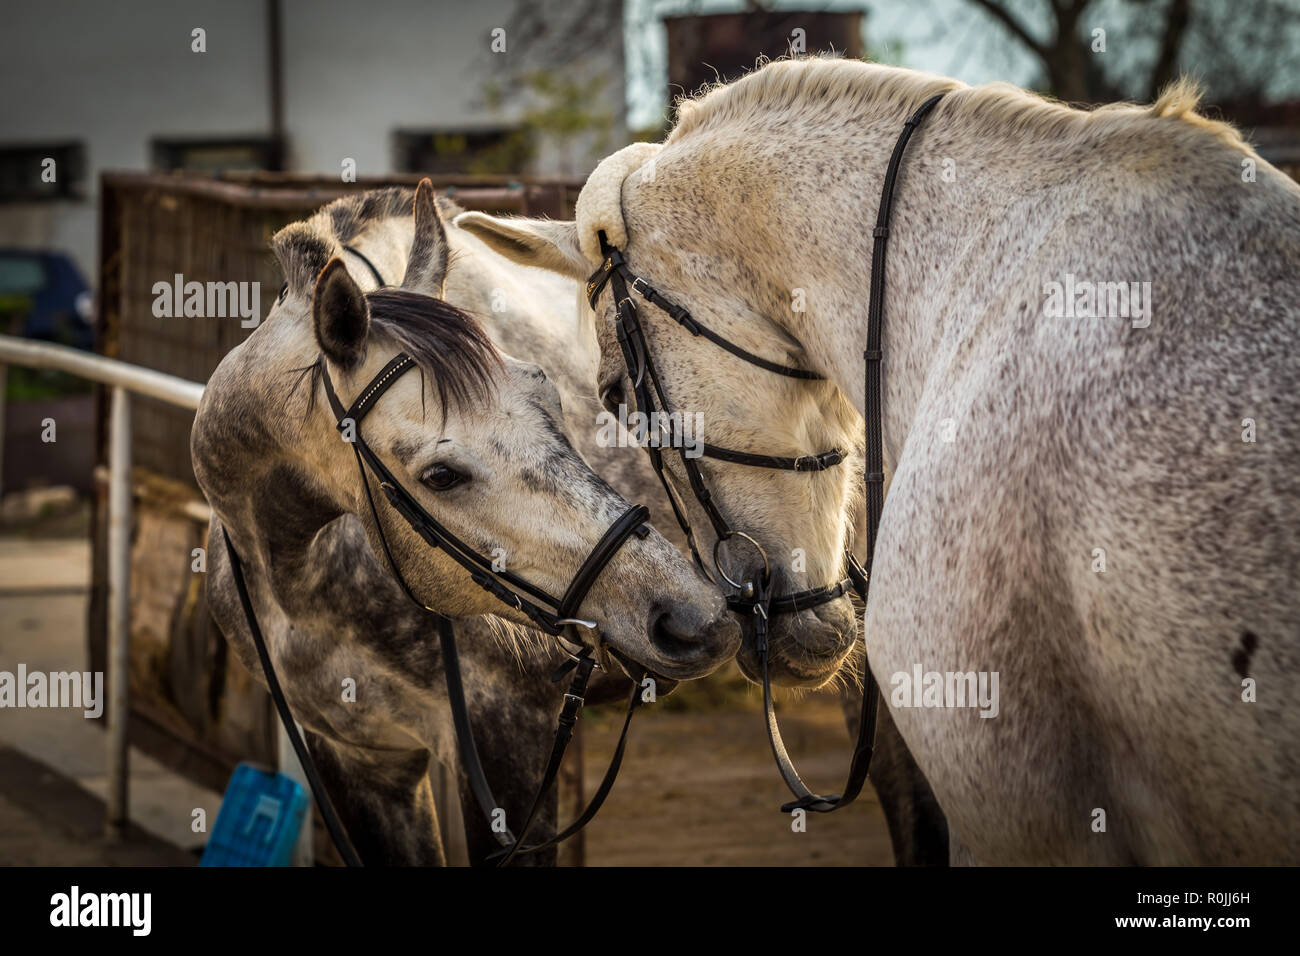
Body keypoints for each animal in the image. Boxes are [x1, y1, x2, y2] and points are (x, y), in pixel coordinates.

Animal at [193, 180, 739, 865]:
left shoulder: (508, 744)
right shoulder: (358, 757)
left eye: (549, 396)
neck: (301, 581)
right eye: (441, 476)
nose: (694, 618)